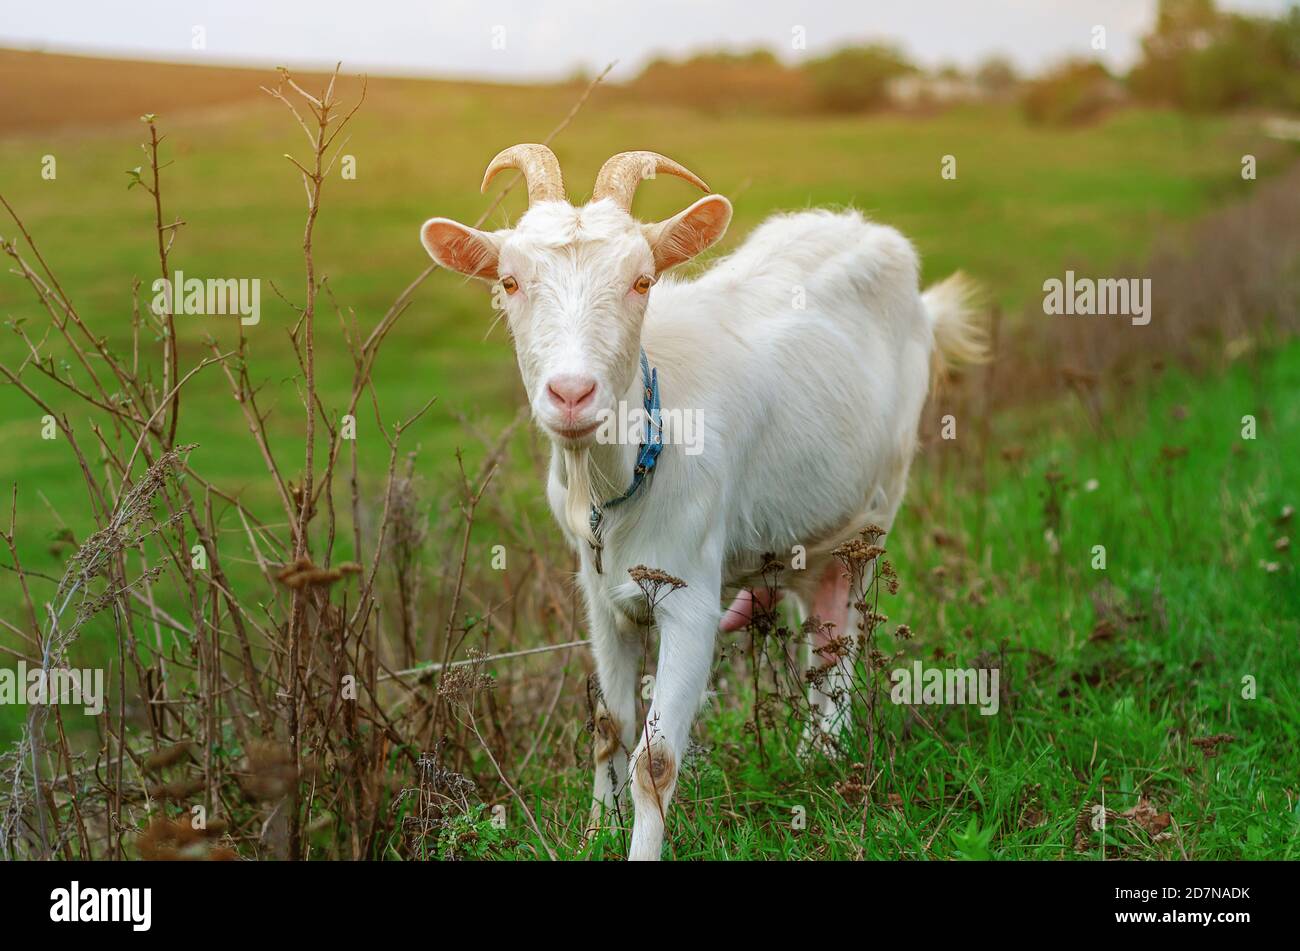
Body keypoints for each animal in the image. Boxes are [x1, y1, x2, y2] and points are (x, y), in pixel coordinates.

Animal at [419, 144, 985, 860]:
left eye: (641, 281)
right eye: (510, 283)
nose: (571, 394)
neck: (622, 473)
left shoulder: (688, 594)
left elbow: (656, 761)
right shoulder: (598, 593)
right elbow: (607, 723)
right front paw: (595, 829)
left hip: (878, 510)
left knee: (845, 635)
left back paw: (833, 761)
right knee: (820, 625)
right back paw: (812, 759)